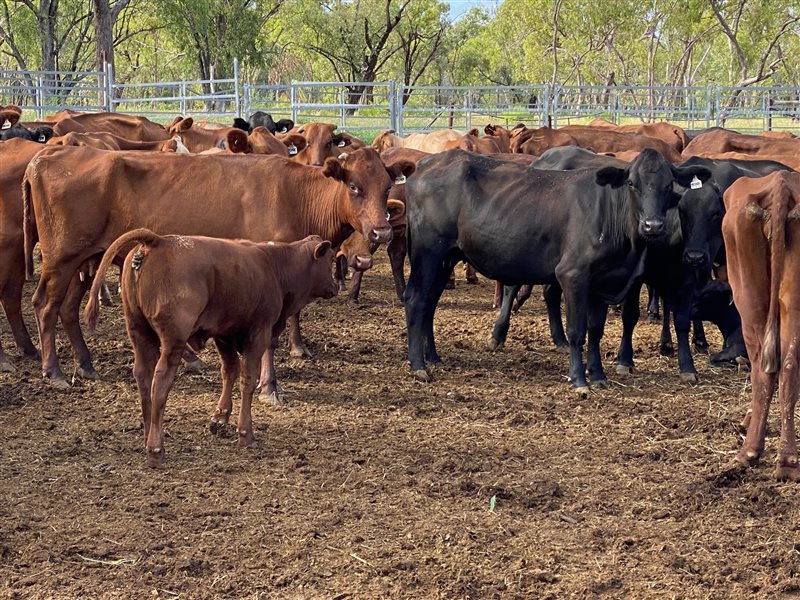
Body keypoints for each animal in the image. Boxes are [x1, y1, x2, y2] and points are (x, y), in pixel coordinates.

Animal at [23, 146, 414, 388]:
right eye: (354, 185)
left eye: (387, 185)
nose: (381, 231)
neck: (296, 195)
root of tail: (47, 155)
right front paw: (269, 385)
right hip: (60, 259)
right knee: (45, 305)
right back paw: (53, 371)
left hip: (84, 260)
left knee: (68, 309)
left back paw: (86, 364)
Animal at [84, 230, 338, 467]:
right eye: (330, 260)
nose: (336, 286)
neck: (273, 265)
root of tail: (158, 241)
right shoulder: (259, 333)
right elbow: (248, 379)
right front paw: (245, 433)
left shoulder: (223, 334)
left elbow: (229, 371)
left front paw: (220, 418)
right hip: (173, 341)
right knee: (160, 383)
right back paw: (156, 449)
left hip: (140, 332)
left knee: (143, 377)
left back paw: (149, 437)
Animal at [404, 148, 711, 393]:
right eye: (632, 183)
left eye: (669, 185)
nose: (653, 225)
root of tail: (425, 163)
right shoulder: (572, 275)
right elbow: (576, 330)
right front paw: (579, 380)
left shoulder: (602, 281)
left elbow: (595, 330)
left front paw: (598, 375)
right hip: (427, 253)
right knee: (416, 299)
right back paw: (418, 365)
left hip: (446, 258)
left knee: (429, 302)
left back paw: (432, 356)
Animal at [722, 170, 800, 480]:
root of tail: (781, 183)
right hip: (793, 301)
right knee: (790, 365)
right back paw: (788, 460)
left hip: (750, 300)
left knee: (761, 370)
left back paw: (749, 452)